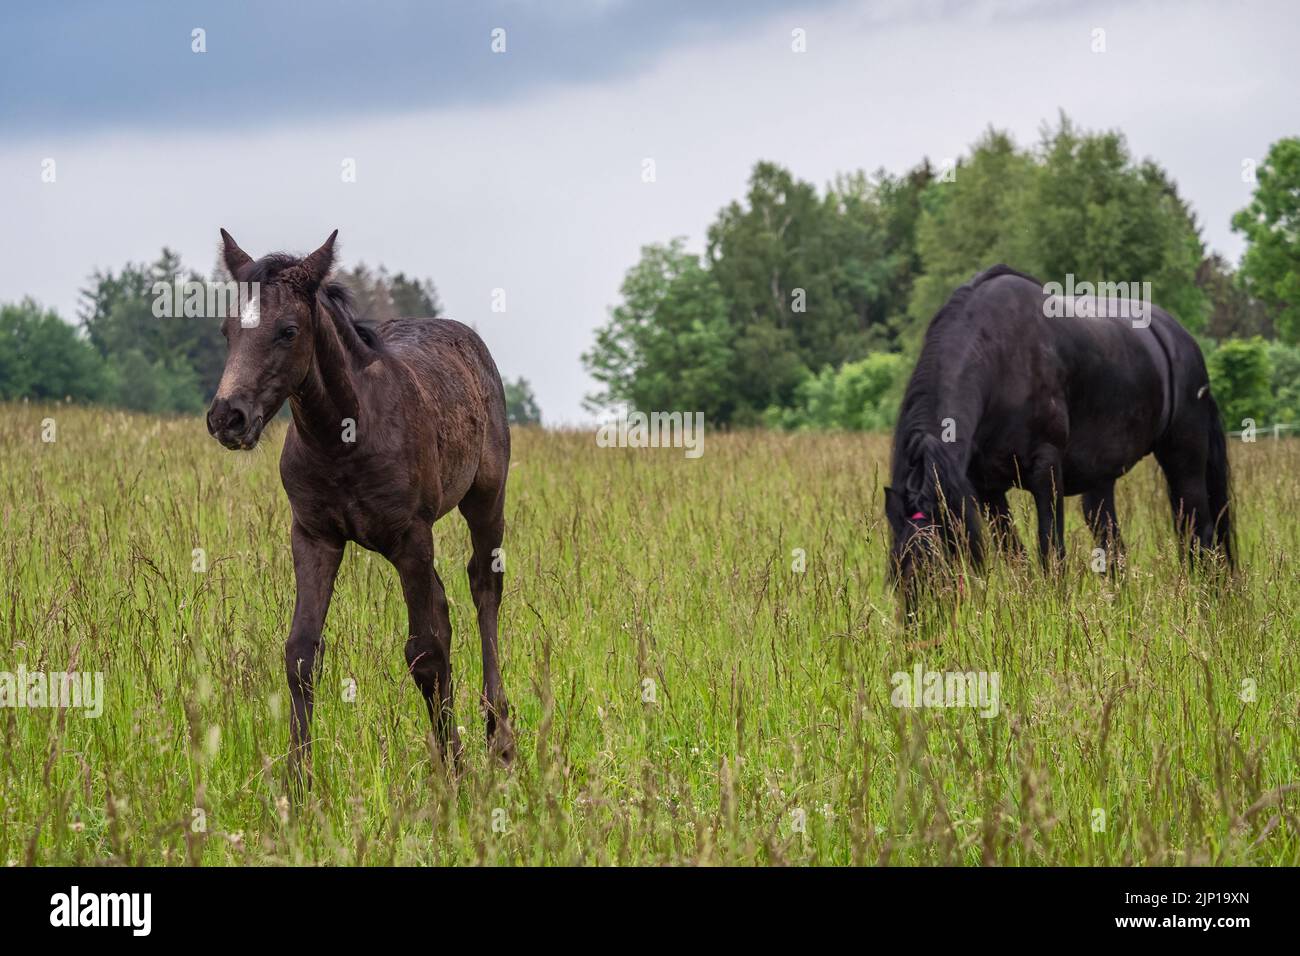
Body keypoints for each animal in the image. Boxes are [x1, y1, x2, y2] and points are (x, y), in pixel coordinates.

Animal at [206, 229, 515, 786]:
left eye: (287, 331)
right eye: (226, 330)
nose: (228, 417)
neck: (343, 437)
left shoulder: (412, 536)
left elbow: (424, 653)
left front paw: (452, 783)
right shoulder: (313, 535)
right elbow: (301, 652)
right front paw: (299, 784)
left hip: (485, 499)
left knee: (484, 588)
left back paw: (497, 736)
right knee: (444, 607)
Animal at [884, 264, 1232, 614]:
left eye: (936, 564)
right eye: (897, 571)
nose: (922, 624)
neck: (999, 357)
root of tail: (1178, 336)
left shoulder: (1046, 470)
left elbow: (1051, 553)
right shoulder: (988, 490)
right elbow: (1016, 558)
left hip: (1184, 458)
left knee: (1200, 535)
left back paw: (1208, 605)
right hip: (1101, 479)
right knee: (1113, 545)